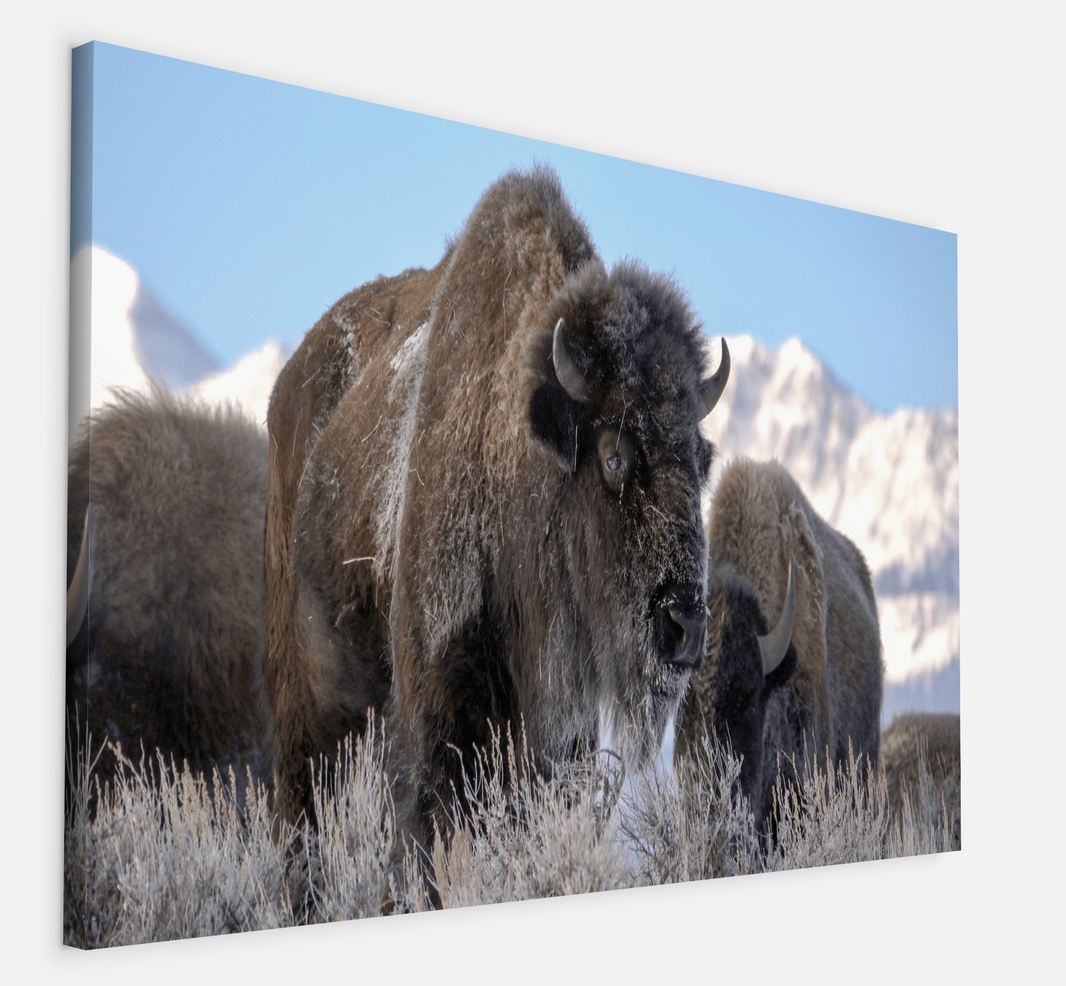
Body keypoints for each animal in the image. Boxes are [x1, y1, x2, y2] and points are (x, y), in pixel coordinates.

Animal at [262, 166, 730, 881]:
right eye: (614, 454)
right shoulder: (434, 716)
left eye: (704, 459)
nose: (684, 625)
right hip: (308, 712)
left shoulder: (555, 741)